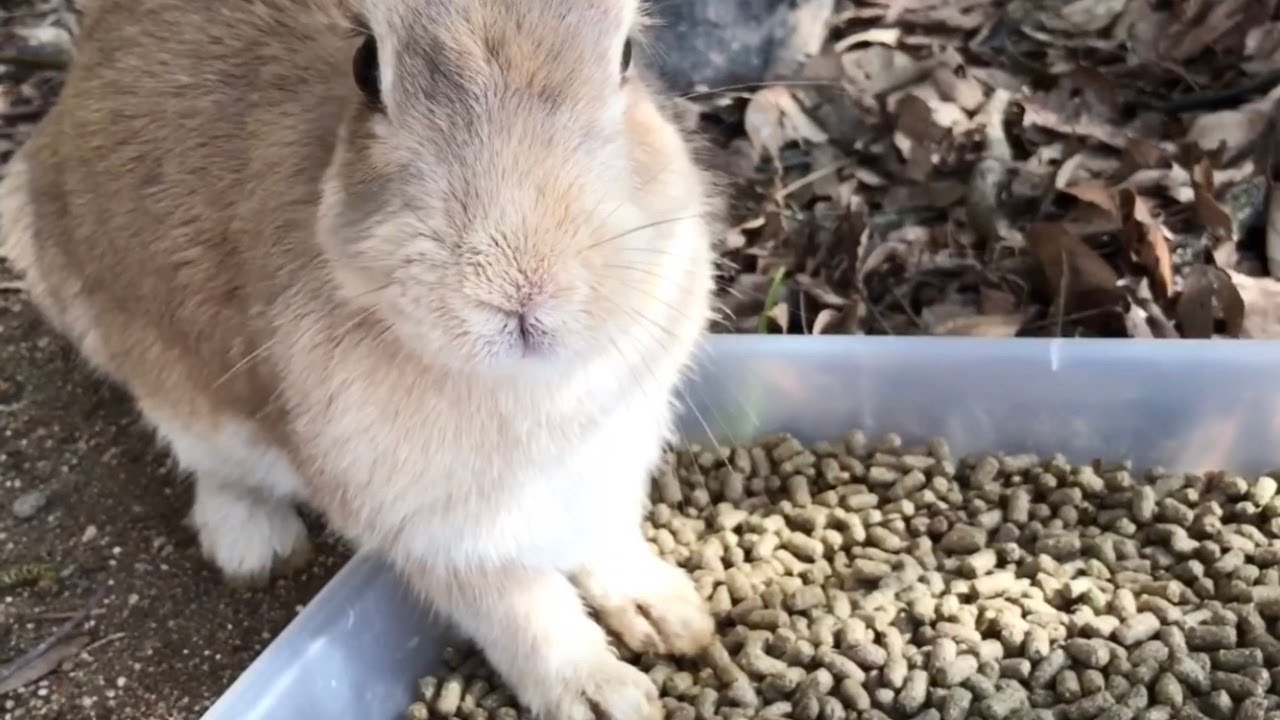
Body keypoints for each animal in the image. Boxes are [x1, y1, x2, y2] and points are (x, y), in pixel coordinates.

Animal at [0, 0, 724, 717]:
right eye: (366, 66)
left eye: (627, 54)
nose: (520, 290)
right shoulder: (430, 524)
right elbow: (522, 609)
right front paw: (604, 696)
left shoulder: (606, 456)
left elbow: (603, 535)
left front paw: (670, 615)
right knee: (210, 461)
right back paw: (255, 545)